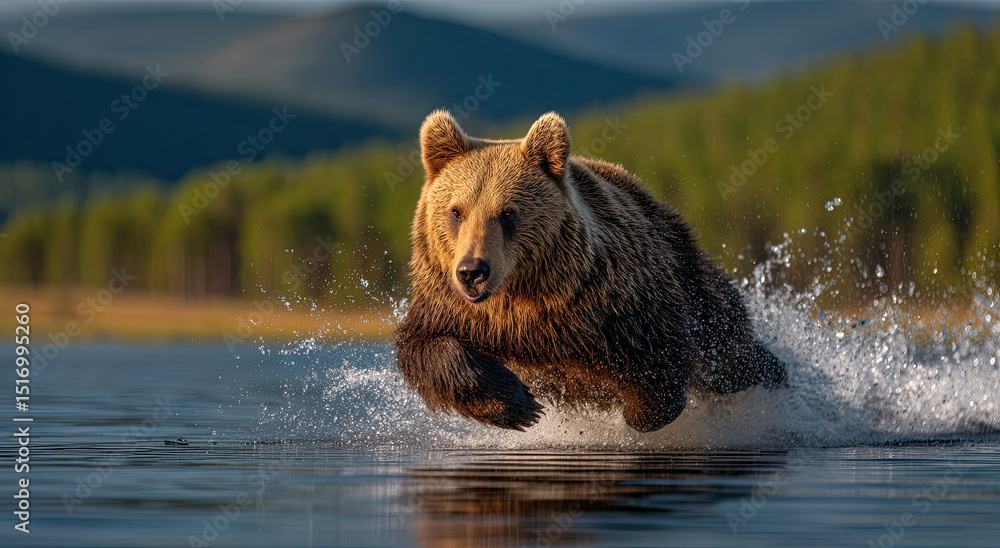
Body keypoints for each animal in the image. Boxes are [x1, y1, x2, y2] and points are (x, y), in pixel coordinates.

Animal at [394, 110, 785, 432]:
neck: (520, 305)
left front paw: (634, 412)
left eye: (507, 213)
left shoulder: (612, 303)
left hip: (689, 271)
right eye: (456, 211)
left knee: (731, 356)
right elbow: (426, 350)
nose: (473, 271)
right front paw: (517, 404)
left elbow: (660, 356)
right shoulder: (453, 308)